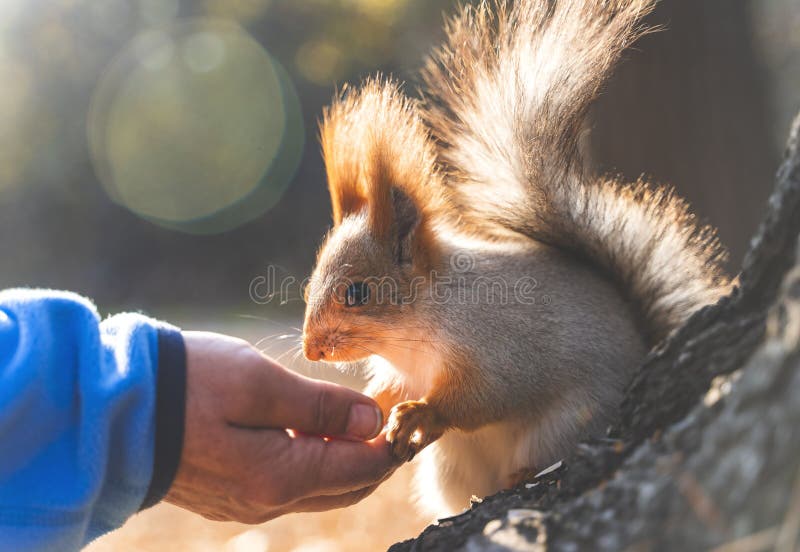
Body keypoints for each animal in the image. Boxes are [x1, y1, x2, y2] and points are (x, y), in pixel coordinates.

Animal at [301, 0, 732, 517]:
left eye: (357, 292)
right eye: (307, 288)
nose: (311, 351)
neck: (415, 331)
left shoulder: (499, 345)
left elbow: (485, 396)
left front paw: (422, 411)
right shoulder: (406, 370)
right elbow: (394, 389)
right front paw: (377, 403)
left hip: (569, 422)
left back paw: (522, 475)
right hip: (450, 469)